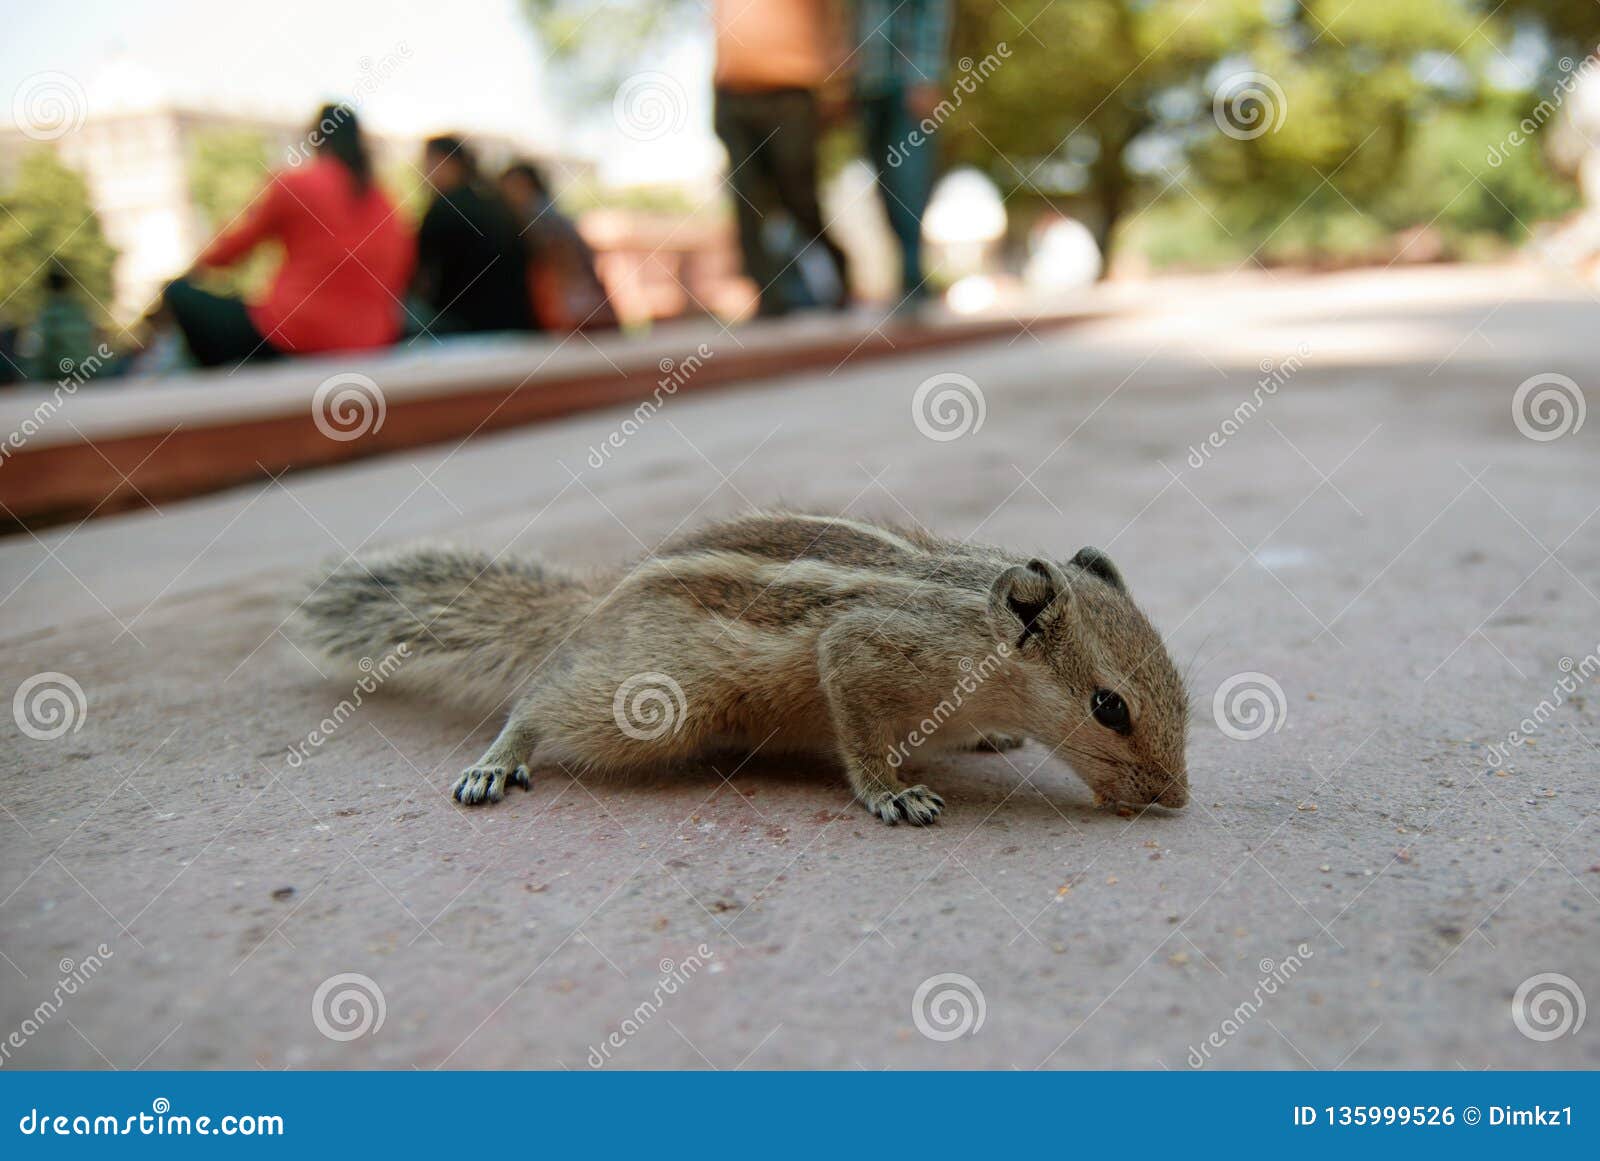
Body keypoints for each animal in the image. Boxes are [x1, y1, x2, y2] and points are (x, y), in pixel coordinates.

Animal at [294, 511, 1189, 825]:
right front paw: (892, 792)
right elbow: (858, 730)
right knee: (543, 696)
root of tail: (599, 599)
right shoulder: (864, 650)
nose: (1175, 798)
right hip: (650, 708)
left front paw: (987, 737)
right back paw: (497, 758)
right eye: (1110, 707)